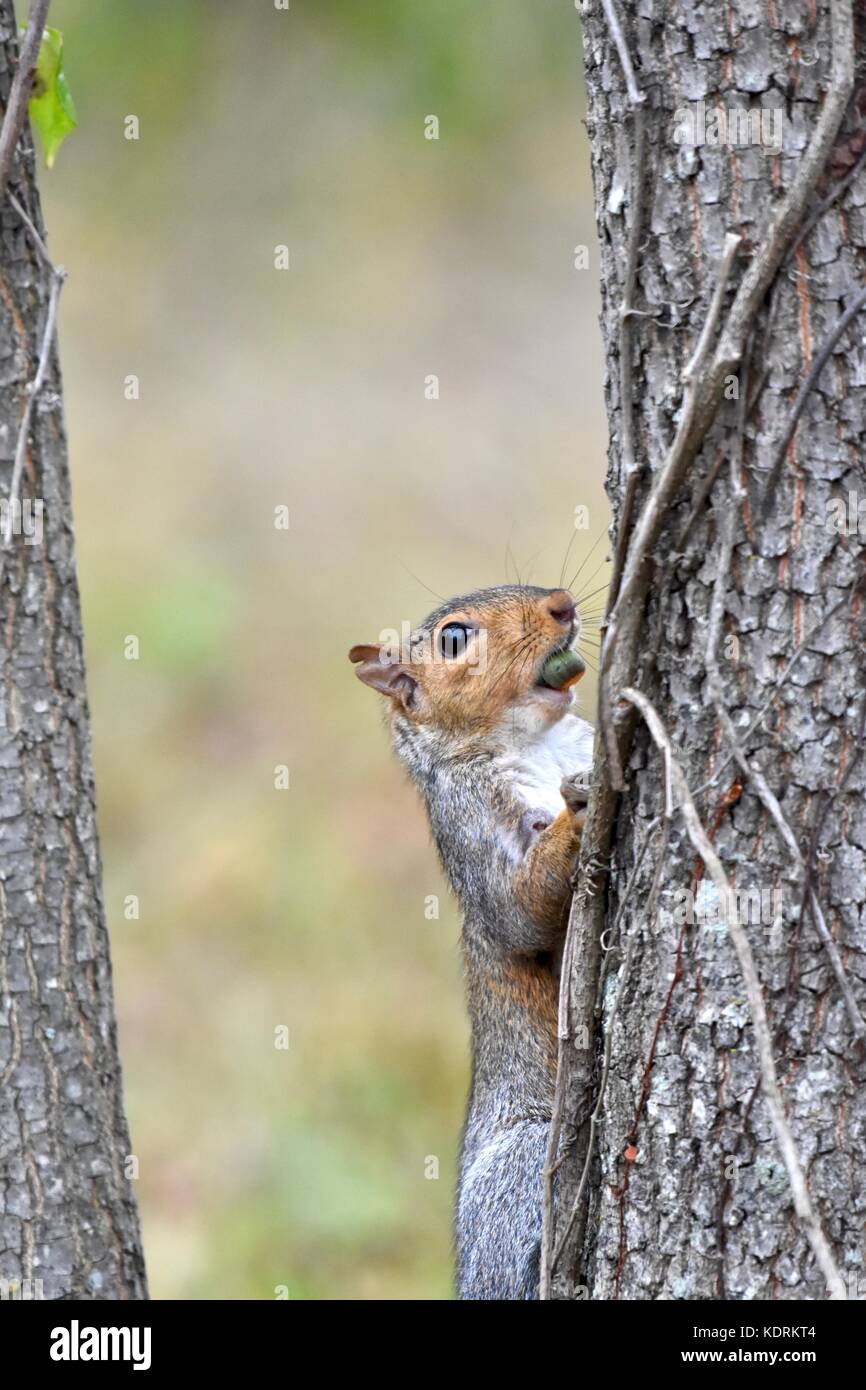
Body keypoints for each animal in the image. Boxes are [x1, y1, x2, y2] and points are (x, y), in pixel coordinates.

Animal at [349, 584, 593, 1300]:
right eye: (454, 640)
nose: (563, 603)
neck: (538, 743)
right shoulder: (471, 823)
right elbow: (518, 910)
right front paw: (575, 818)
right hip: (522, 1163)